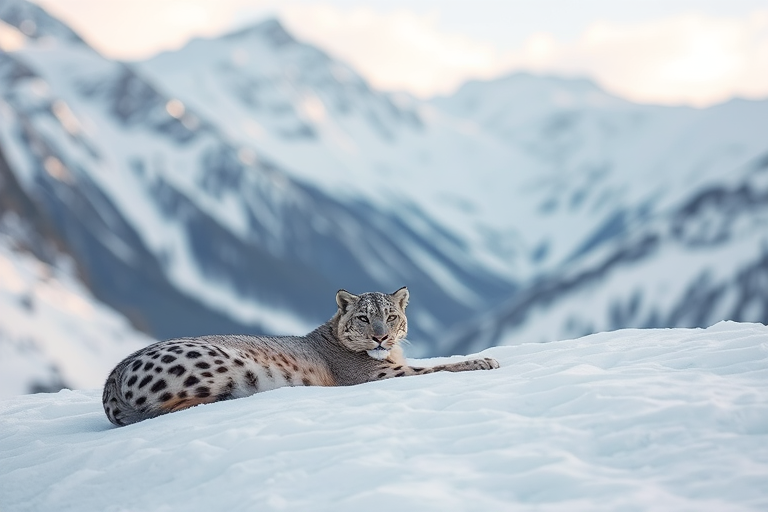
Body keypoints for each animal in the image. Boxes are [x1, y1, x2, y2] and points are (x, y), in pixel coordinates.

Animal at [102, 287, 499, 426]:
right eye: (363, 317)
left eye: (391, 316)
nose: (381, 337)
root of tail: (111, 383)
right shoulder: (376, 377)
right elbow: (434, 368)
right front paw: (483, 360)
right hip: (219, 363)